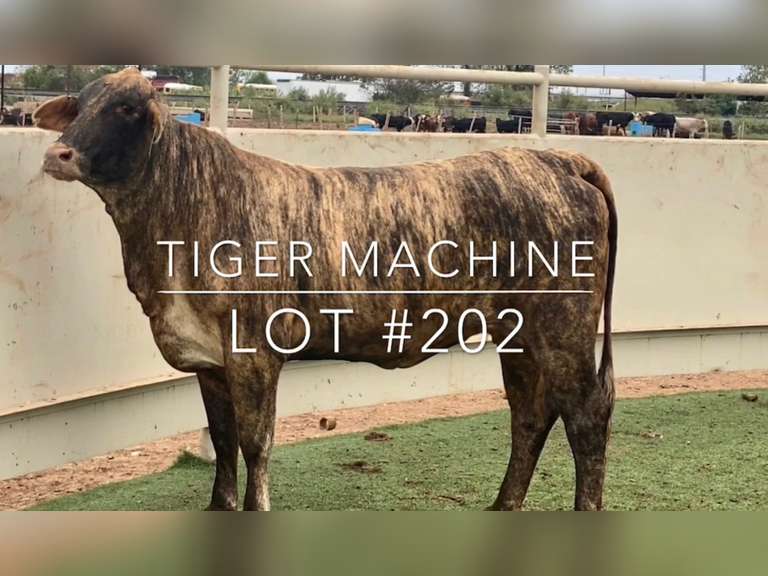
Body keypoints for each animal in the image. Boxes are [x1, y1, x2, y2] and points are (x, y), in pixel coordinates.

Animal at [35, 68, 617, 511]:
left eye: (127, 109)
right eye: (80, 105)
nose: (57, 154)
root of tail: (558, 160)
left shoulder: (254, 353)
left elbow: (255, 443)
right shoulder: (209, 360)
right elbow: (222, 442)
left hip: (563, 328)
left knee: (586, 414)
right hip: (518, 336)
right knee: (531, 415)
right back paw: (501, 506)